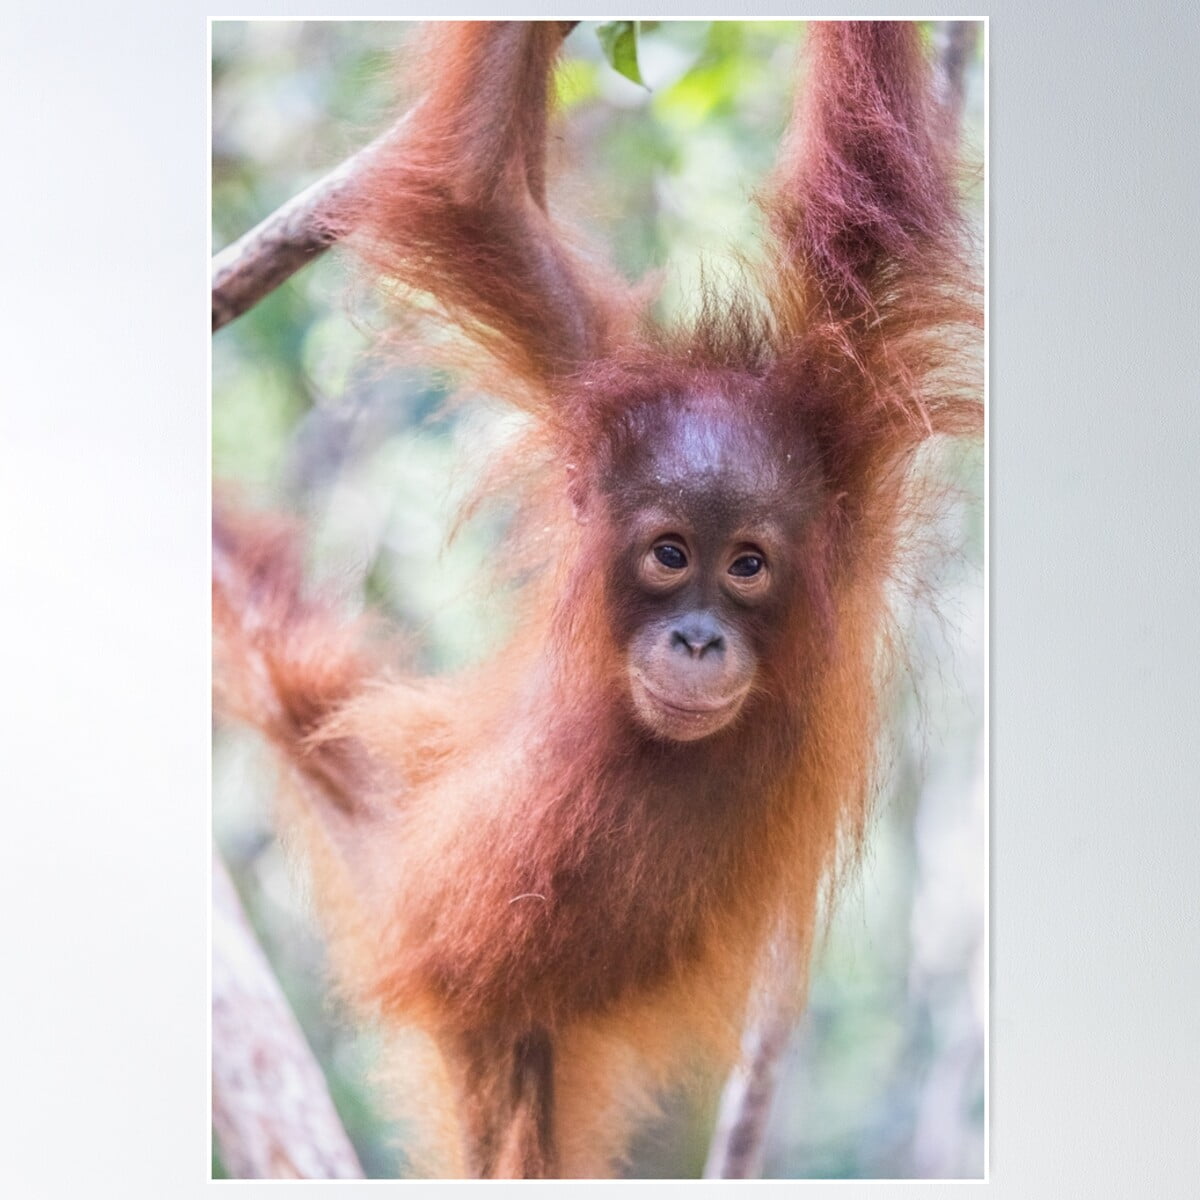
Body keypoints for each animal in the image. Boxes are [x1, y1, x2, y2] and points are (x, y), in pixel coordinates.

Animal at [213, 20, 981, 1179]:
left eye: (747, 565)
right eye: (668, 553)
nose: (698, 638)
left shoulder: (851, 412)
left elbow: (869, 193)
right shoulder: (597, 394)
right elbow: (477, 186)